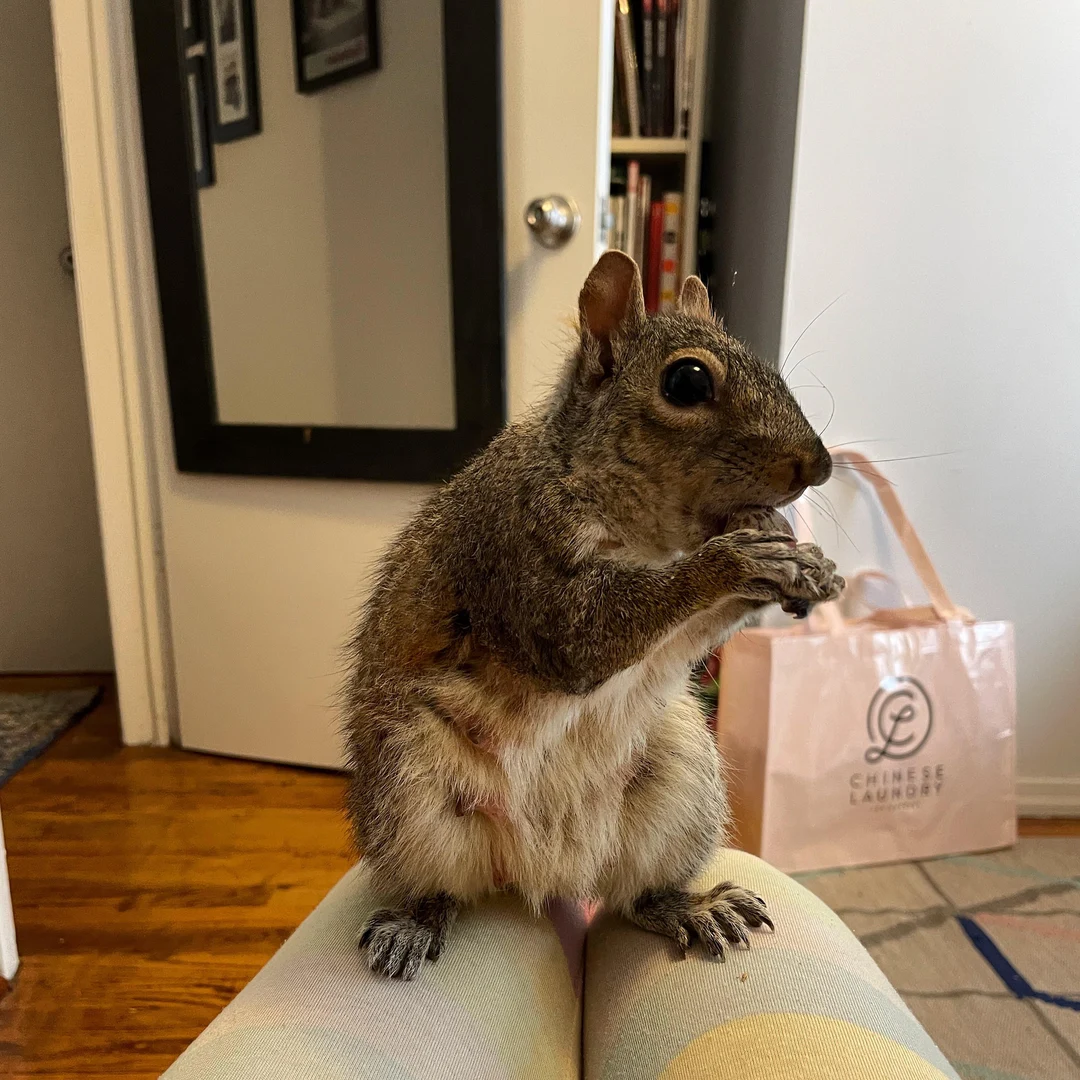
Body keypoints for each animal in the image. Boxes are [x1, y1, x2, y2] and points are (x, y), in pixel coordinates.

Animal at [343, 251, 843, 980]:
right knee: (441, 886)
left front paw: (800, 561)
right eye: (687, 381)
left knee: (637, 895)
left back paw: (692, 906)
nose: (819, 465)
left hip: (679, 782)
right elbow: (580, 638)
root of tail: (549, 869)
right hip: (410, 788)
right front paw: (732, 561)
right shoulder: (511, 550)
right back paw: (415, 921)